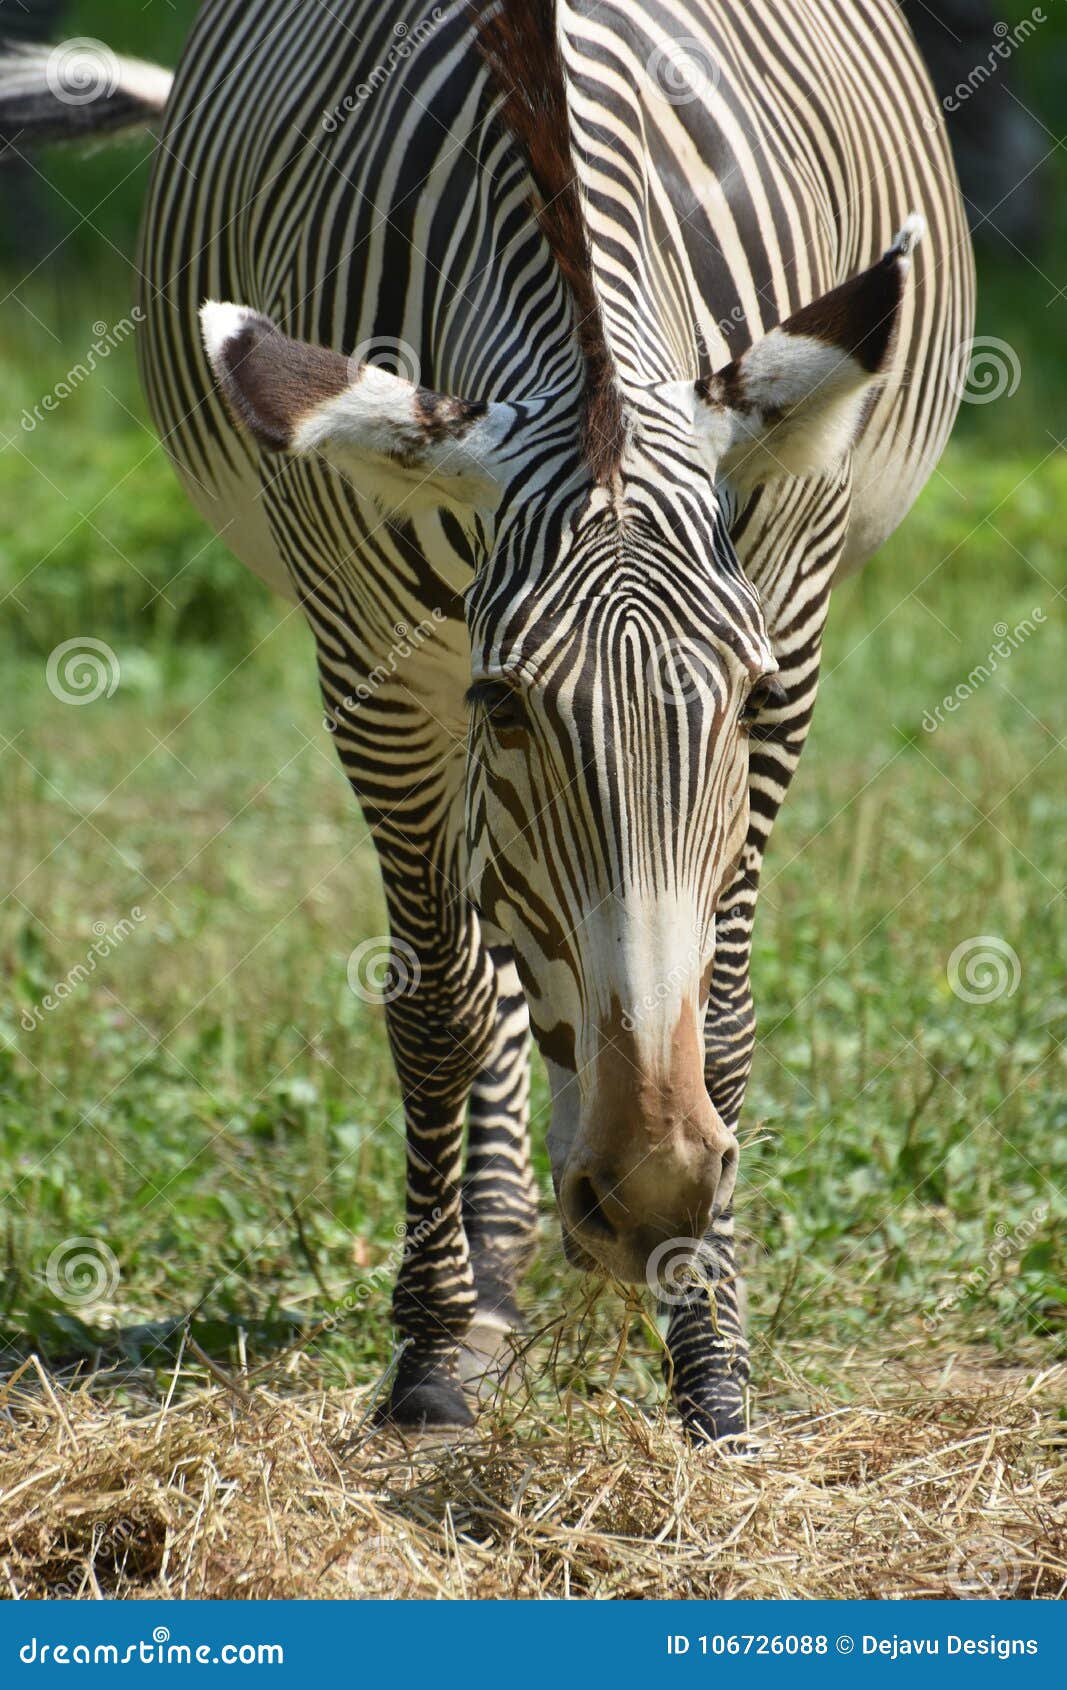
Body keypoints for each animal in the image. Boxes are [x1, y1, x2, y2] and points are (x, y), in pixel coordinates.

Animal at [0, 0, 974, 1441]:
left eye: (740, 698)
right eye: (505, 700)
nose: (654, 1190)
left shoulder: (788, 622)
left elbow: (719, 1007)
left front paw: (711, 1365)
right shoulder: (380, 669)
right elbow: (440, 1007)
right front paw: (431, 1346)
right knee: (490, 968)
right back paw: (496, 1266)